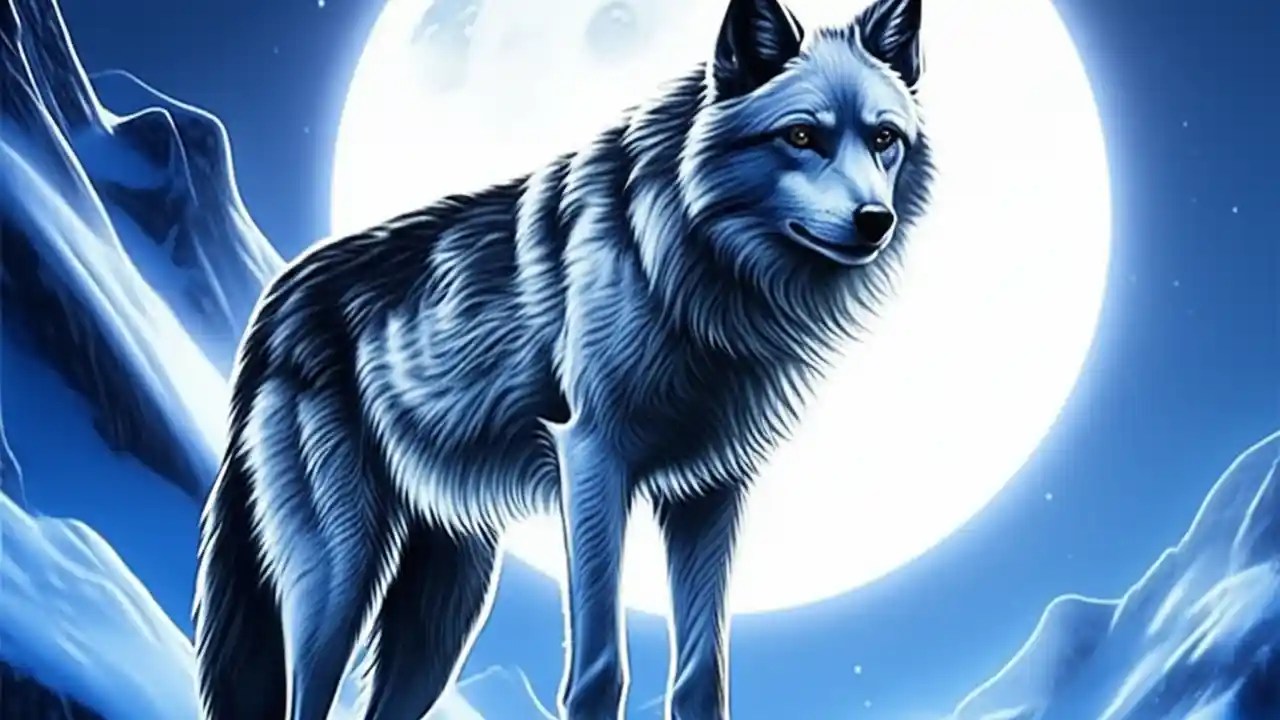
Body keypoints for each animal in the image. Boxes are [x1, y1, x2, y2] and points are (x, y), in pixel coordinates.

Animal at [193, 0, 934, 718]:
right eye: (802, 137)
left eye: (883, 139)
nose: (875, 220)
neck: (684, 267)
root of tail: (277, 296)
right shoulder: (592, 462)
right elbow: (599, 671)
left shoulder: (709, 495)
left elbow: (702, 680)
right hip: (338, 578)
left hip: (445, 611)